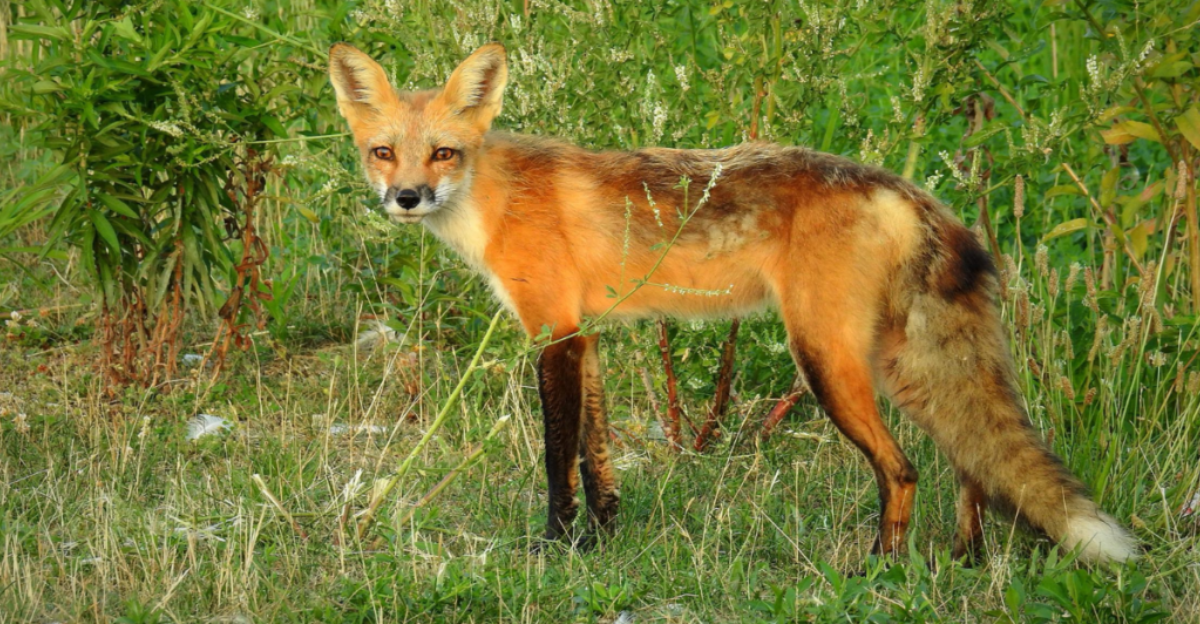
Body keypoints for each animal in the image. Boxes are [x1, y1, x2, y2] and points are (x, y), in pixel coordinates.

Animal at [328, 42, 1137, 564]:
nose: (407, 197)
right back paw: (966, 559)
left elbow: (559, 460)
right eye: (382, 152)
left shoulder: (553, 333)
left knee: (904, 469)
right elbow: (597, 456)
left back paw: (880, 569)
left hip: (826, 361)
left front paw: (553, 549)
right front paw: (604, 540)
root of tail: (903, 189)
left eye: (443, 153)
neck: (492, 198)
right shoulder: (585, 335)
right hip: (900, 367)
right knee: (971, 467)